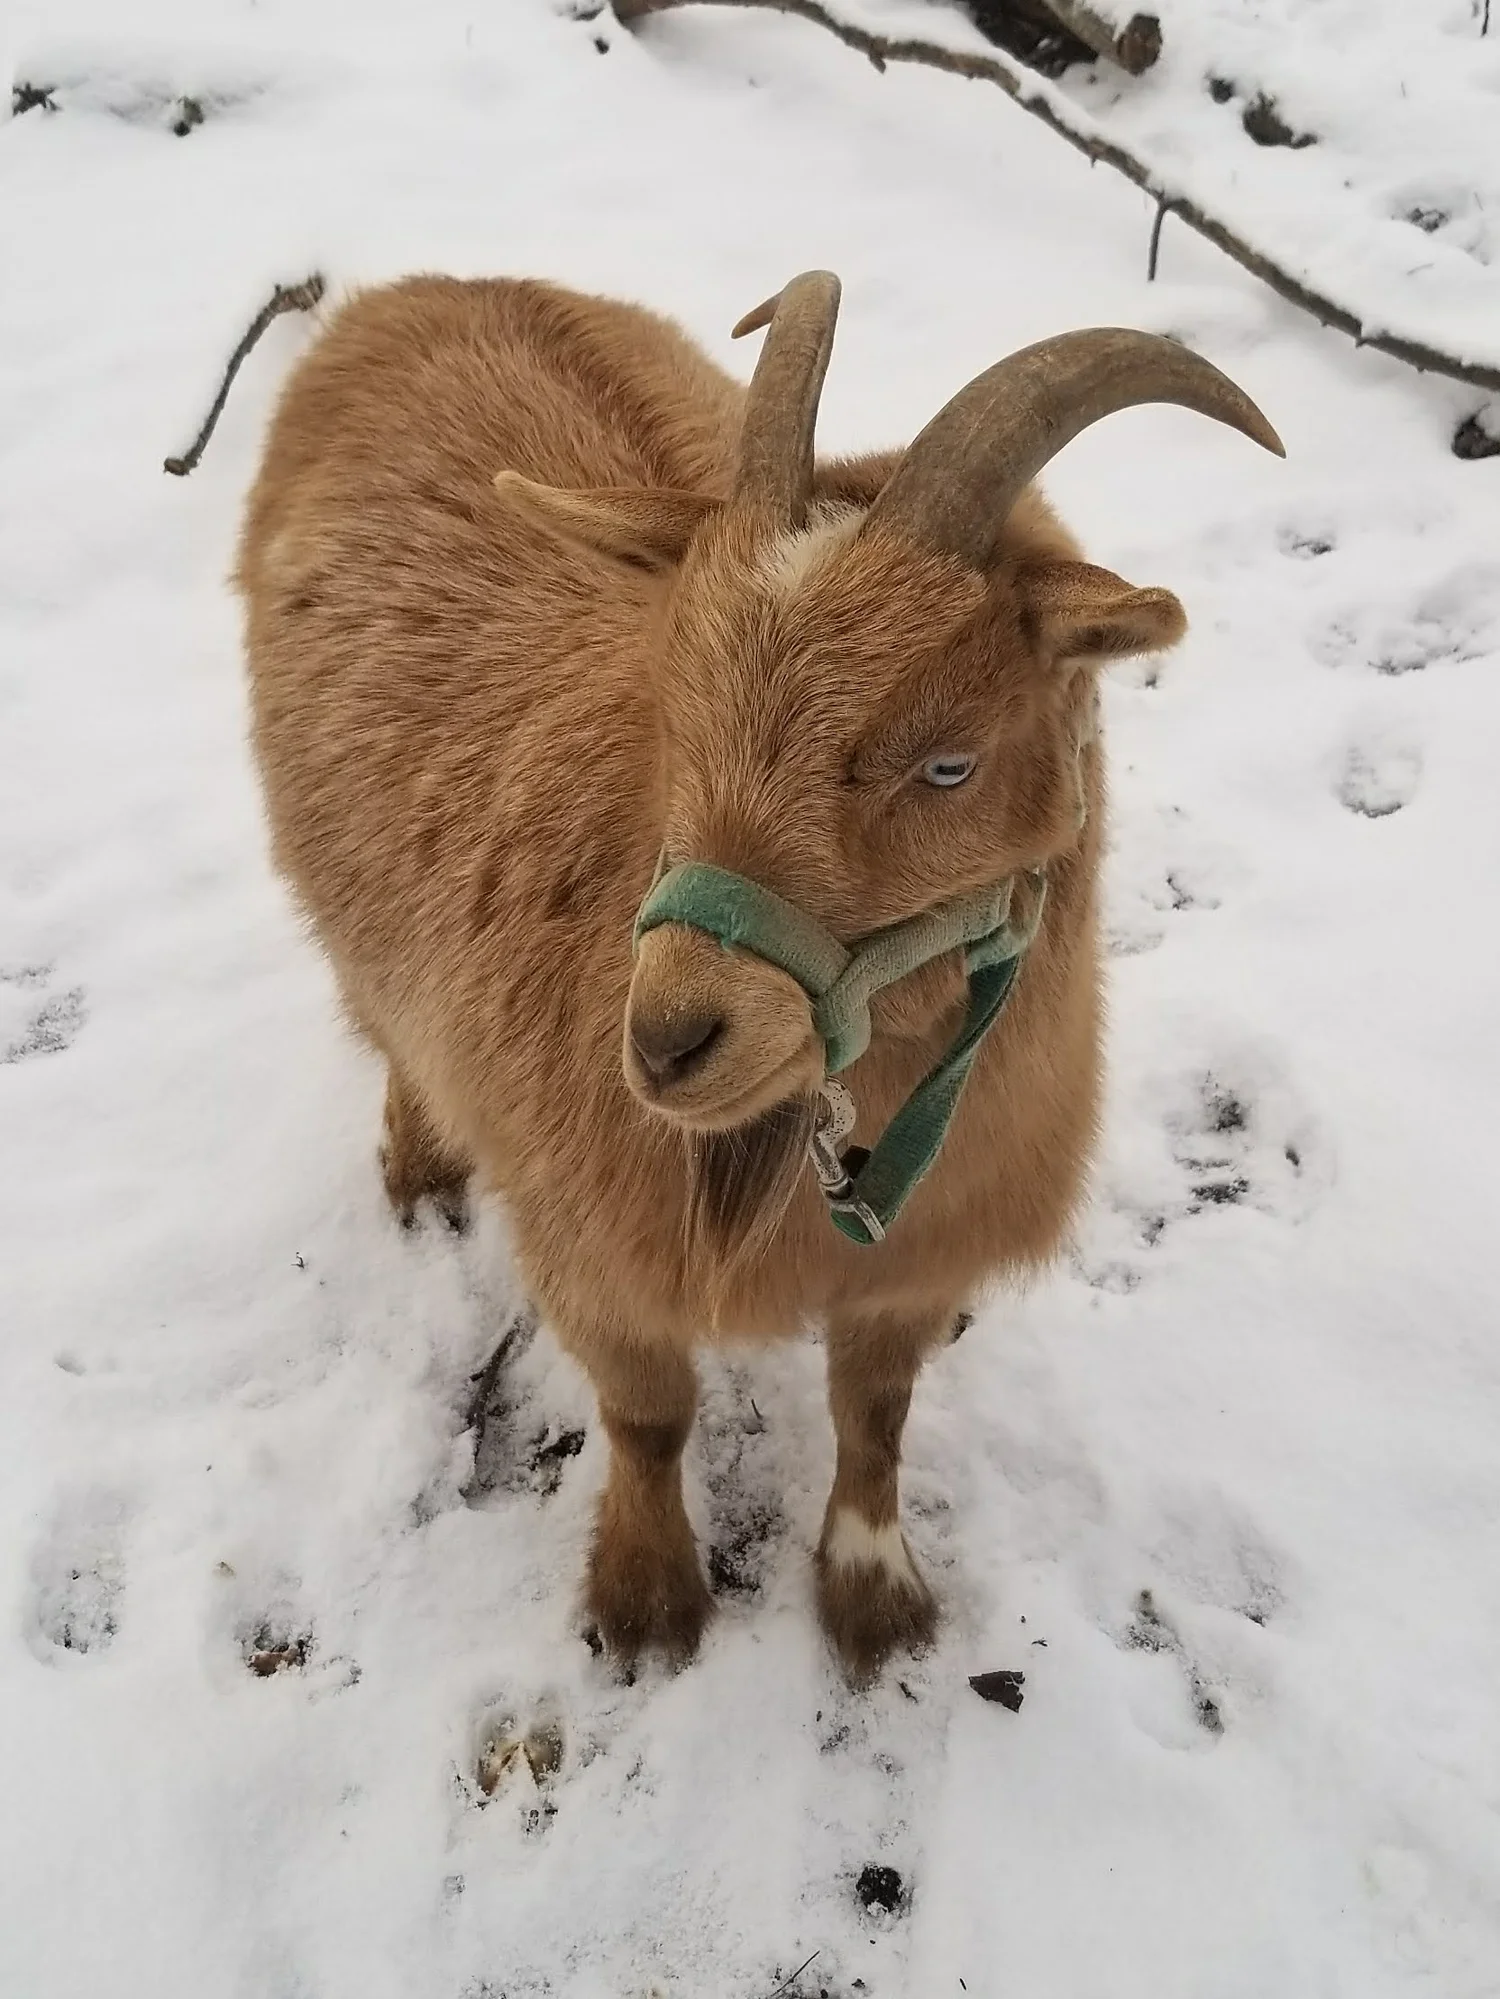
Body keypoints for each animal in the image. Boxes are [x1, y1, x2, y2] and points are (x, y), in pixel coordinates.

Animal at [236, 270, 1280, 1681]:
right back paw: (420, 1166)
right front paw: (644, 1604)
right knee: (384, 1019)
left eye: (948, 764)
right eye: (675, 699)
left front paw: (876, 1600)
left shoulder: (918, 1261)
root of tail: (409, 288)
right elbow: (649, 1414)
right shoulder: (590, 1245)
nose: (671, 1037)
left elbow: (876, 1415)